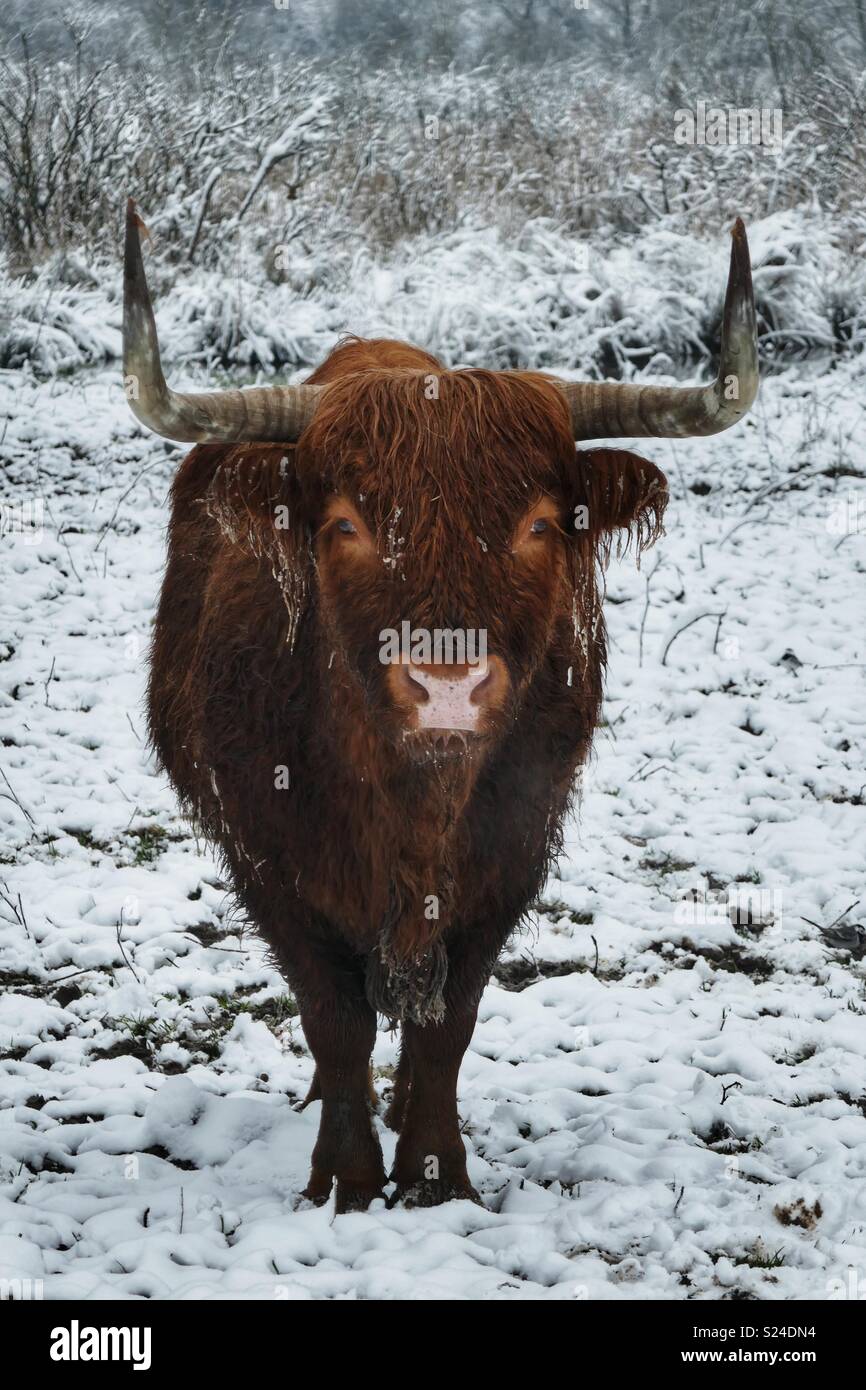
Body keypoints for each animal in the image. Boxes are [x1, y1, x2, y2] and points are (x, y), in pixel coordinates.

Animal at [123, 200, 758, 1211]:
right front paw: (345, 1180)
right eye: (344, 523)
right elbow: (335, 1018)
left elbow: (449, 1019)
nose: (447, 684)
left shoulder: (513, 849)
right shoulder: (268, 858)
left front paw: (434, 1171)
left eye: (540, 523)